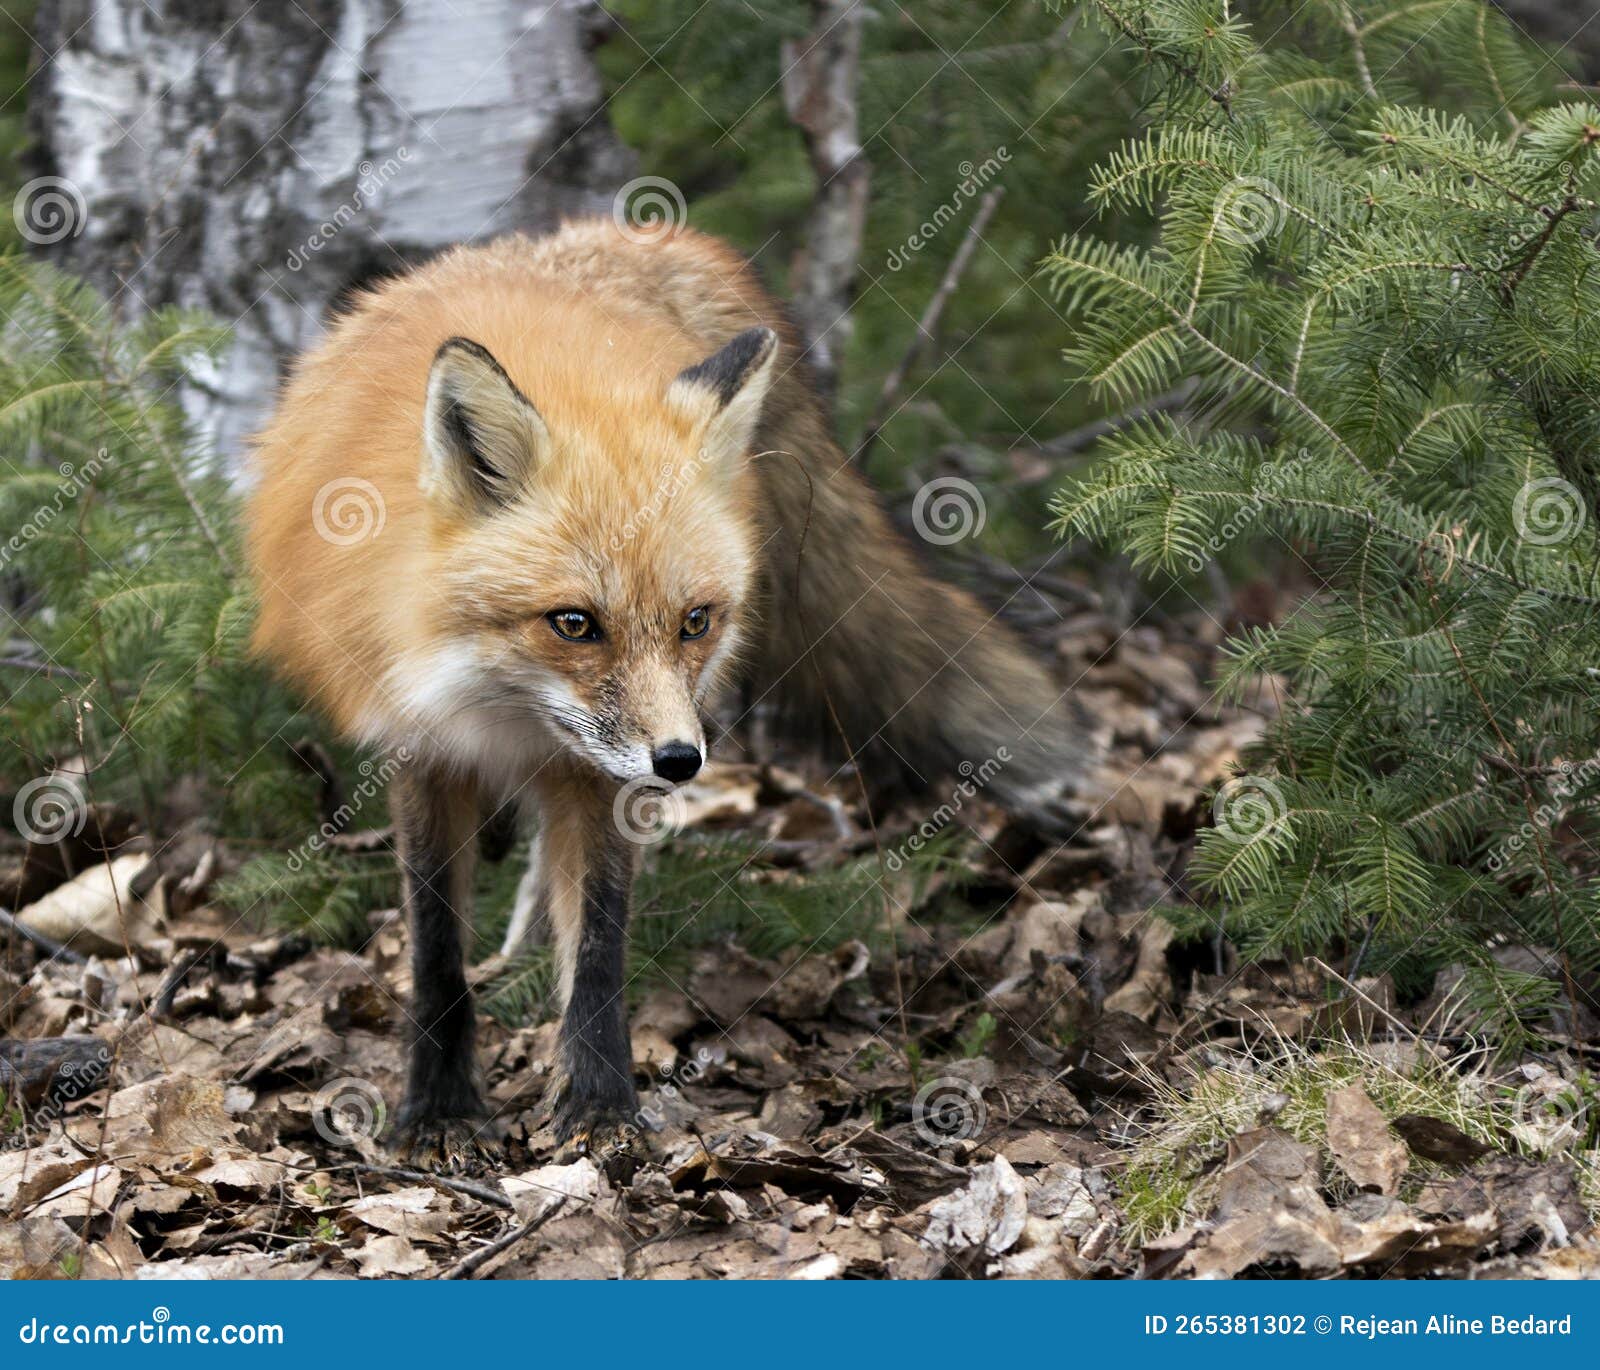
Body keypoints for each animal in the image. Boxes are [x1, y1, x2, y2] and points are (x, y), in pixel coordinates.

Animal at [246, 218, 1095, 1168]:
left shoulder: (602, 776)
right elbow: (435, 953)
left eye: (695, 621)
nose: (683, 761)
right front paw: (438, 1110)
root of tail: (636, 232)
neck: (499, 705)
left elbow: (601, 947)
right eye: (574, 623)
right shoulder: (423, 749)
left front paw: (599, 1102)